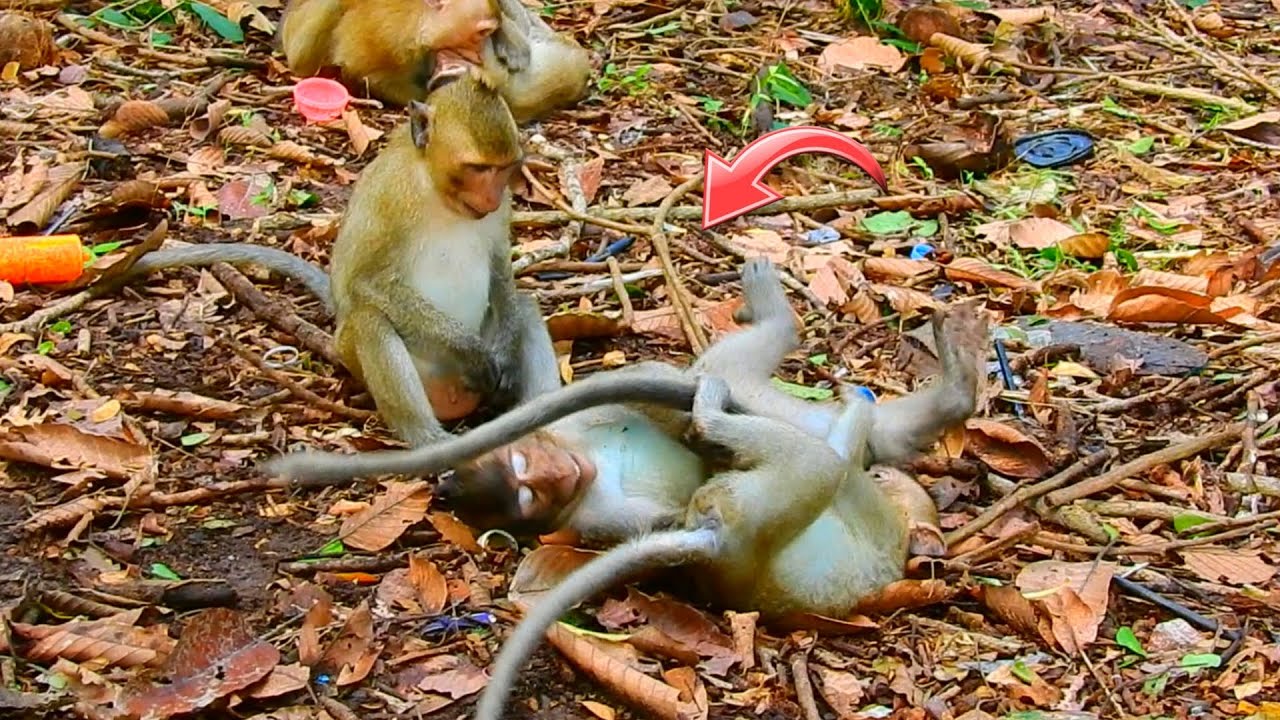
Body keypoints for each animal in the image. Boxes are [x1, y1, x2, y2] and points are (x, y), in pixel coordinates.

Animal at [98, 67, 561, 447]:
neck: (433, 187)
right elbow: (364, 282)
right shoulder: (391, 198)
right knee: (368, 320)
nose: (492, 196)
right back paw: (428, 439)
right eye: (477, 168)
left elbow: (500, 269)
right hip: (372, 361)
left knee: (522, 304)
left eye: (505, 169)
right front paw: (472, 351)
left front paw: (501, 355)